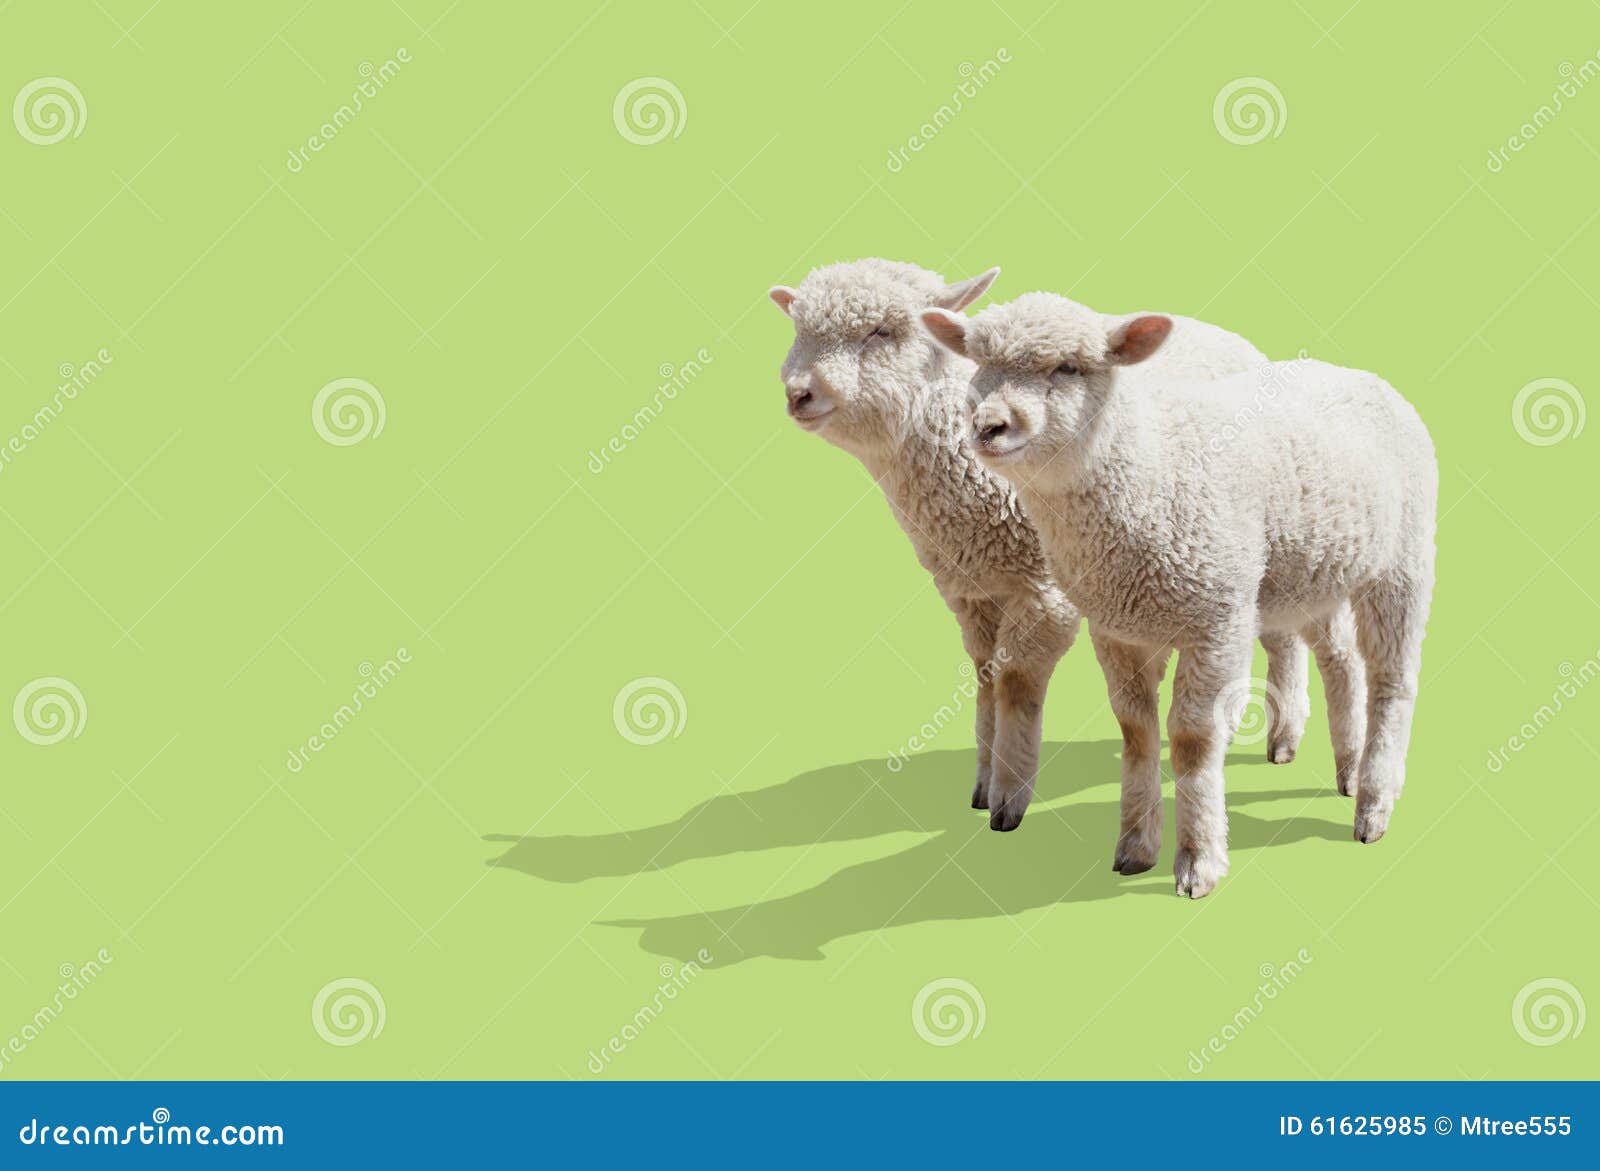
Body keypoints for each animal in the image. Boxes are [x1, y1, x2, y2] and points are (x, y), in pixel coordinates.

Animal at [768, 259, 1318, 832]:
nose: (799, 393)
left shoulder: (1044, 587)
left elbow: (1015, 680)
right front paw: (983, 781)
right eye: (798, 329)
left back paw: (1282, 735)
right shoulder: (971, 589)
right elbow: (984, 675)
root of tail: (1230, 336)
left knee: (1282, 635)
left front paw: (1009, 796)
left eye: (882, 331)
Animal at [921, 292, 1435, 896]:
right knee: (1342, 661)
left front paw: (1198, 862)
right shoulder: (1117, 628)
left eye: (1069, 367)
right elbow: (1136, 731)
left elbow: (1192, 738)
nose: (988, 425)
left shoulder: (1217, 619)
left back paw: (1374, 803)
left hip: (1403, 561)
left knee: (1393, 680)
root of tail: (1361, 374)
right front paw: (1135, 847)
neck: (1150, 469)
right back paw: (1347, 771)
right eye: (979, 362)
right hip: (1315, 570)